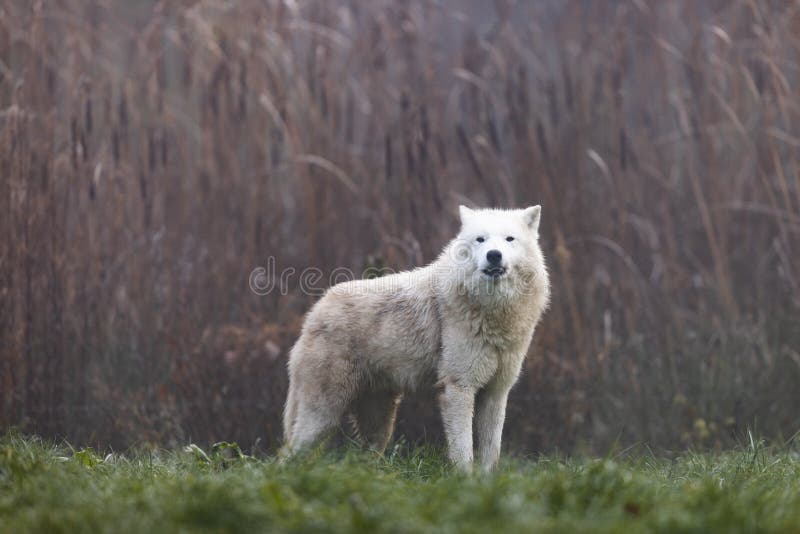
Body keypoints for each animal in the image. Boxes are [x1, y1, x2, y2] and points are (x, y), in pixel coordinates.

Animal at [282, 206, 550, 471]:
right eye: (480, 239)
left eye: (509, 239)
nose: (494, 255)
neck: (494, 313)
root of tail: (315, 310)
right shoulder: (458, 387)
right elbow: (464, 451)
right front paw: (464, 479)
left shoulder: (496, 392)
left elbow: (490, 454)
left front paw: (485, 481)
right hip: (324, 415)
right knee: (288, 454)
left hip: (378, 427)